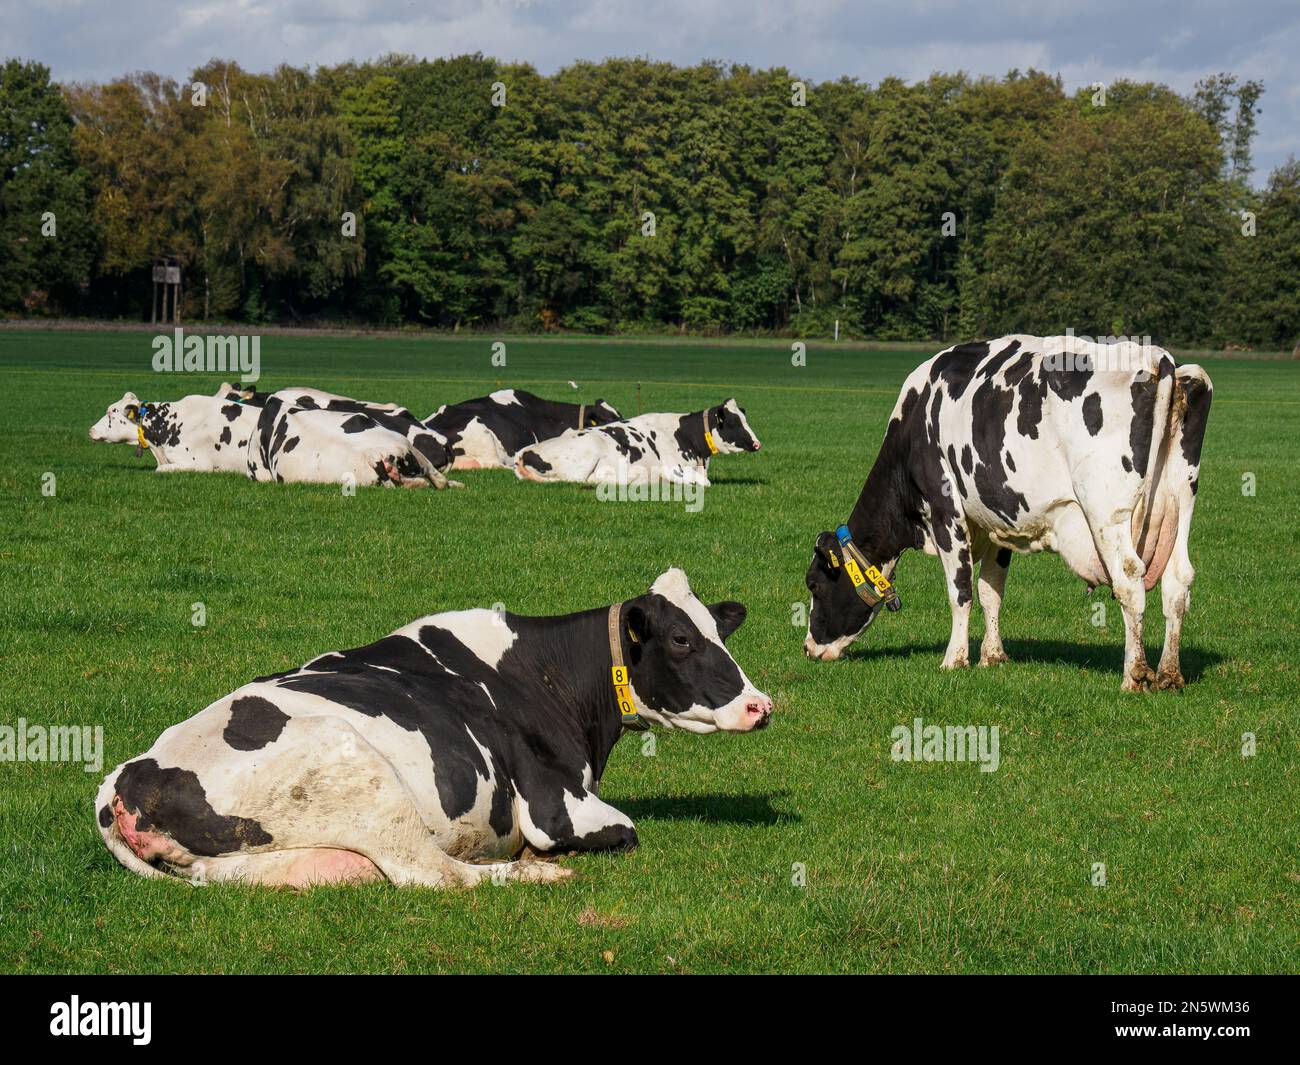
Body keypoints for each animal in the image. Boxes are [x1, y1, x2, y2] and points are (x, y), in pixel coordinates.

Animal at [96, 568, 773, 889]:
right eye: (681, 639)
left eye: (721, 630)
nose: (759, 705)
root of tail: (123, 783)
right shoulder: (555, 807)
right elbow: (626, 831)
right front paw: (544, 857)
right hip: (363, 777)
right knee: (436, 875)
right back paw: (537, 873)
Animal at [514, 399, 761, 487]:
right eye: (733, 422)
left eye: (745, 418)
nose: (757, 444)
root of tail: (524, 452)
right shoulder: (674, 468)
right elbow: (704, 483)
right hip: (585, 456)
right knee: (578, 480)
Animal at [802, 335, 1212, 693]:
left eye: (814, 584)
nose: (808, 648)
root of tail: (1157, 358)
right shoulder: (998, 520)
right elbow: (990, 591)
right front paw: (993, 656)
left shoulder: (945, 511)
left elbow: (961, 590)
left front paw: (954, 659)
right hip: (1179, 502)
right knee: (1178, 582)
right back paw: (1169, 674)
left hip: (1105, 510)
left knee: (1129, 580)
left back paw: (1134, 675)